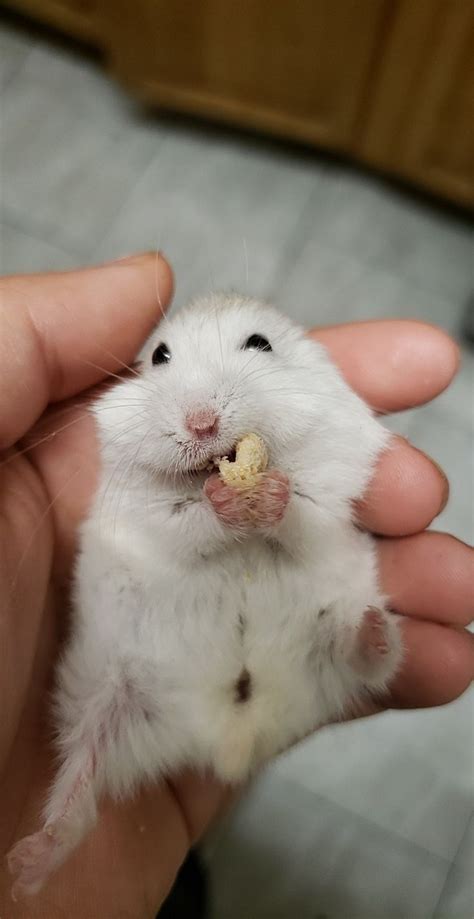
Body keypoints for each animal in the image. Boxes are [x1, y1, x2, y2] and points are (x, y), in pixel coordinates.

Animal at [8, 294, 402, 898]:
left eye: (260, 343)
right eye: (159, 356)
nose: (202, 424)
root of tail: (230, 743)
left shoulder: (329, 494)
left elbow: (301, 512)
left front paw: (269, 494)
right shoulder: (150, 513)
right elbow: (190, 522)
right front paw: (224, 500)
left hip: (322, 649)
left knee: (366, 661)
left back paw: (375, 631)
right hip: (110, 698)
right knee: (81, 786)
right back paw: (26, 868)